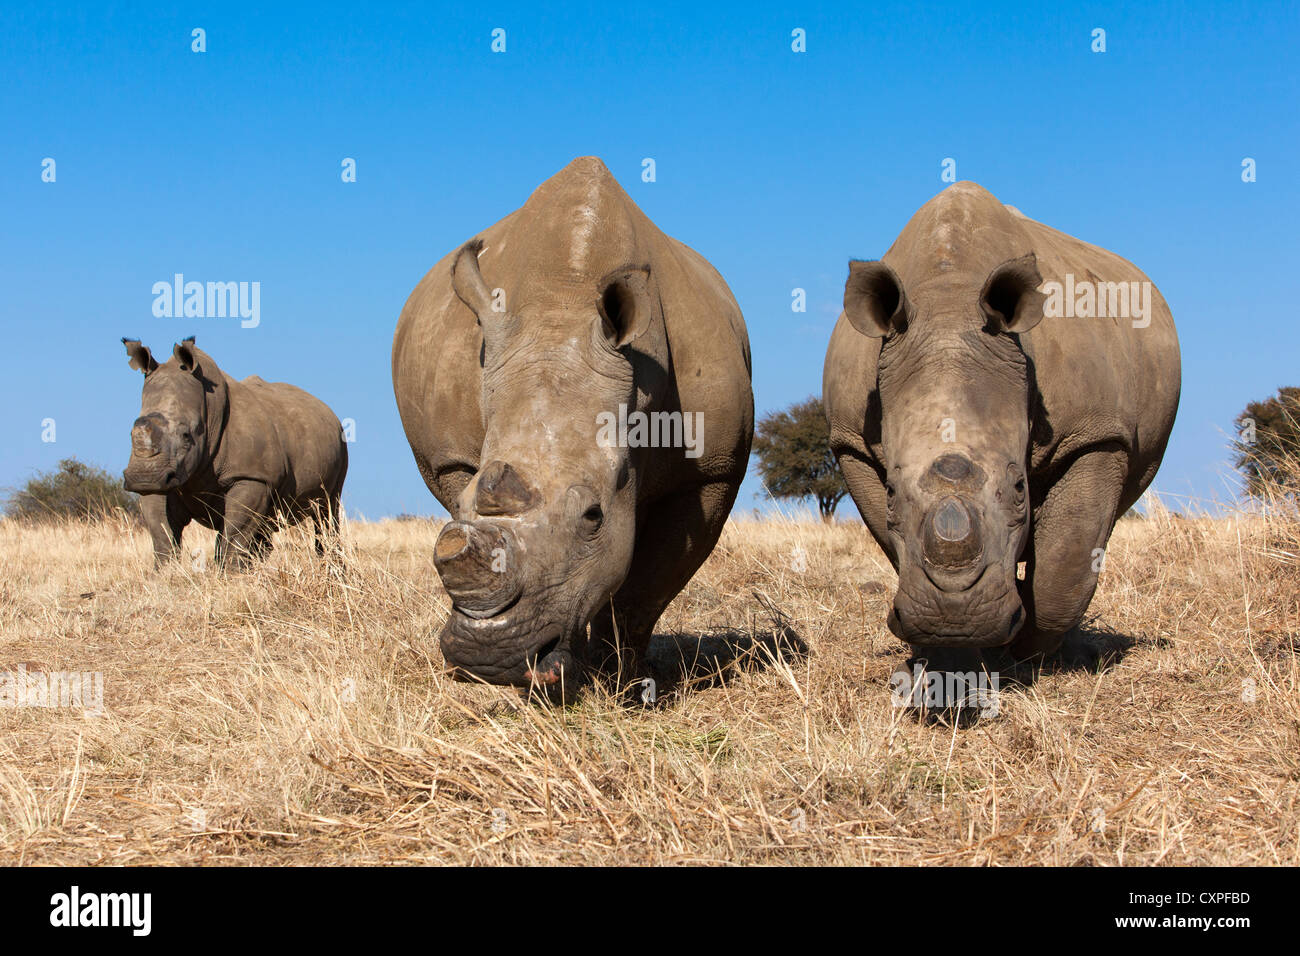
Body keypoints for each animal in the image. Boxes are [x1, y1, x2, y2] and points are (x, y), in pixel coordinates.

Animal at [121, 337, 348, 567]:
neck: (209, 408)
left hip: (341, 443)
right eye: (131, 432)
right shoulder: (166, 478)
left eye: (186, 435)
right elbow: (162, 534)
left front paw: (231, 573)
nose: (143, 477)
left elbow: (237, 533)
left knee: (327, 511)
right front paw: (166, 572)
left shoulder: (251, 476)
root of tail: (329, 410)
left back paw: (332, 568)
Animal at [392, 157, 753, 695]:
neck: (563, 303)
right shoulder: (454, 460)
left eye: (593, 516)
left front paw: (625, 685)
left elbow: (645, 589)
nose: (486, 657)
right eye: (462, 503)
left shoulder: (713, 470)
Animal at [823, 182, 1180, 668]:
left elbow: (1067, 563)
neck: (948, 299)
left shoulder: (1096, 434)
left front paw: (1028, 652)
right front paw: (952, 656)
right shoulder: (851, 442)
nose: (956, 619)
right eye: (892, 492)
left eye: (1018, 489)